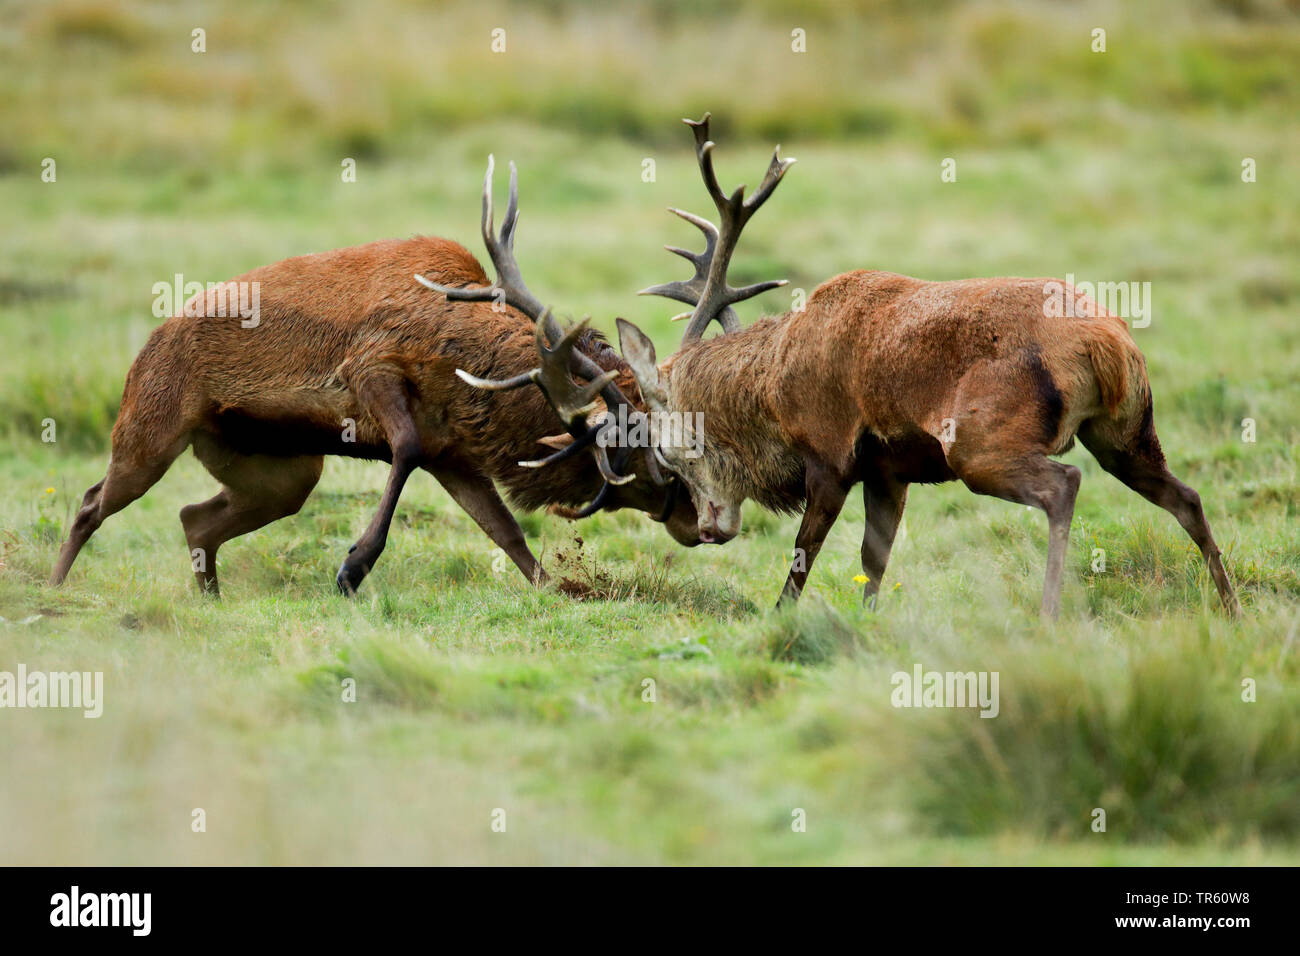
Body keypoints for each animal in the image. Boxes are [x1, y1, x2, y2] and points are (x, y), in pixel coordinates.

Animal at [49, 158, 702, 597]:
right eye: (651, 459)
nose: (699, 523)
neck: (471, 377)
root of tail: (148, 345)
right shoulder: (372, 371)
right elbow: (403, 448)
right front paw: (353, 567)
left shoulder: (455, 454)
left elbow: (506, 532)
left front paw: (559, 588)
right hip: (150, 428)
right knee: (90, 502)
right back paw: (51, 590)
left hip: (282, 471)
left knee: (195, 519)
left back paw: (208, 597)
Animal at [503, 114, 1241, 619]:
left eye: (674, 450)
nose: (708, 529)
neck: (774, 393)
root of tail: (1109, 346)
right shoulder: (891, 468)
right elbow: (873, 560)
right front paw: (866, 626)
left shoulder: (831, 451)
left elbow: (805, 553)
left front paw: (779, 620)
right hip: (1125, 430)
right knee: (1187, 496)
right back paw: (1231, 609)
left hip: (982, 439)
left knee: (1065, 484)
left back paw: (1050, 613)